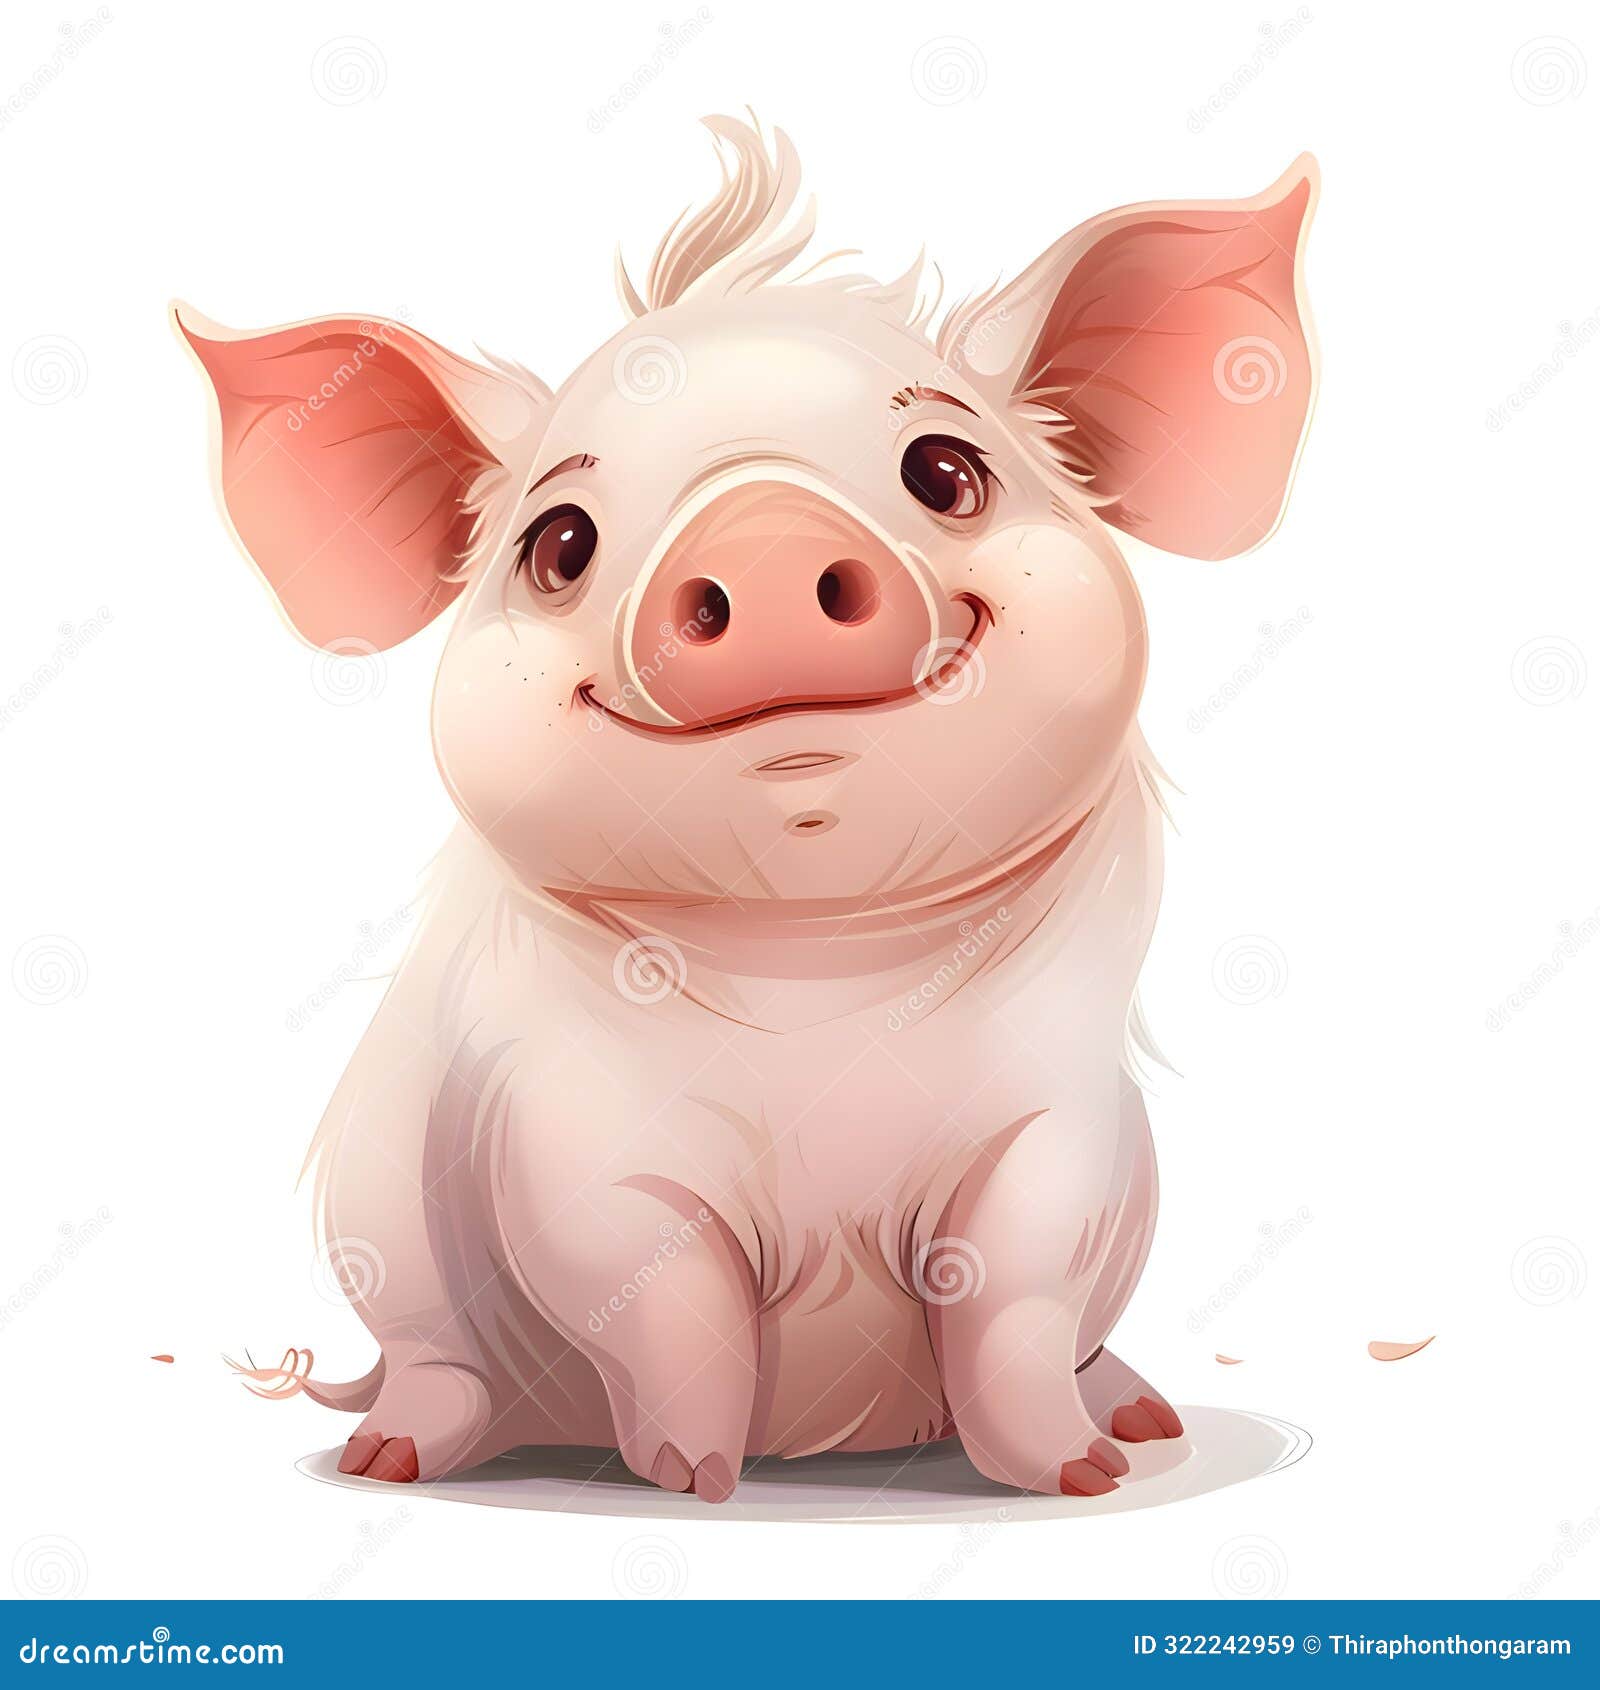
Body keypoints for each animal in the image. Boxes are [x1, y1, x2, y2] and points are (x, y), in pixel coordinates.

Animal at [176, 116, 1317, 1500]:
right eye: (559, 543)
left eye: (946, 470)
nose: (763, 537)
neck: (820, 978)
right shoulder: (569, 1136)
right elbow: (660, 1292)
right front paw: (697, 1481)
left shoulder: (1059, 1118)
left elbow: (1018, 1290)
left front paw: (1081, 1476)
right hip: (384, 1228)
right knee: (442, 1365)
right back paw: (387, 1457)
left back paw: (1143, 1423)